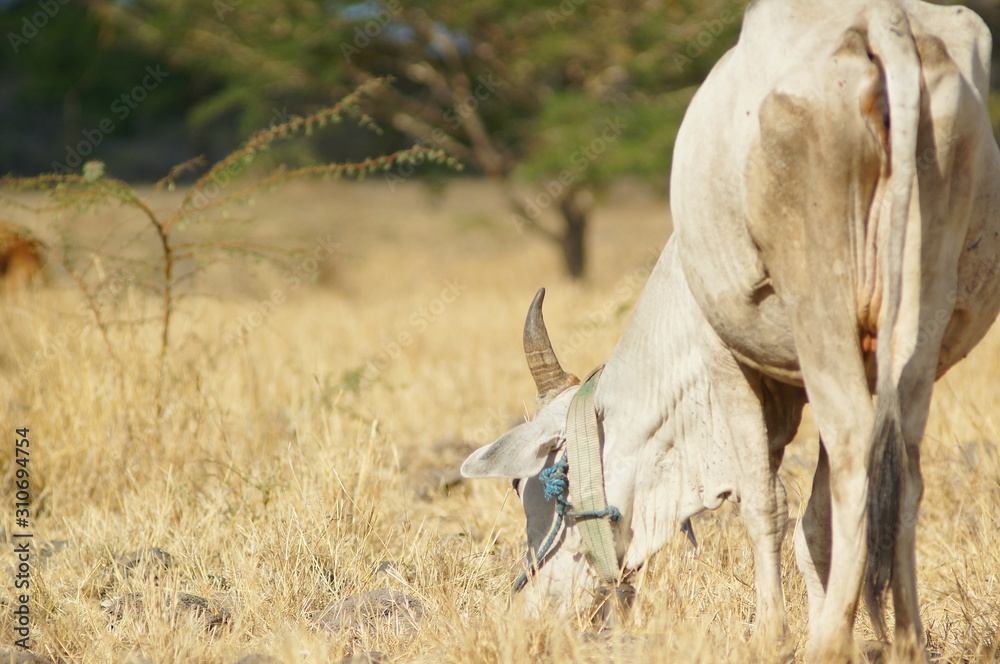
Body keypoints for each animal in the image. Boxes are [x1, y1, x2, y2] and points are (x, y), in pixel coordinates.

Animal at [462, 0, 1000, 661]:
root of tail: (884, 22)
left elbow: (765, 502)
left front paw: (775, 635)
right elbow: (814, 521)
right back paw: (905, 640)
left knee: (855, 448)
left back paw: (830, 642)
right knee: (904, 465)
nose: (529, 614)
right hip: (919, 313)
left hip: (820, 299)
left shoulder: (725, 361)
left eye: (527, 485)